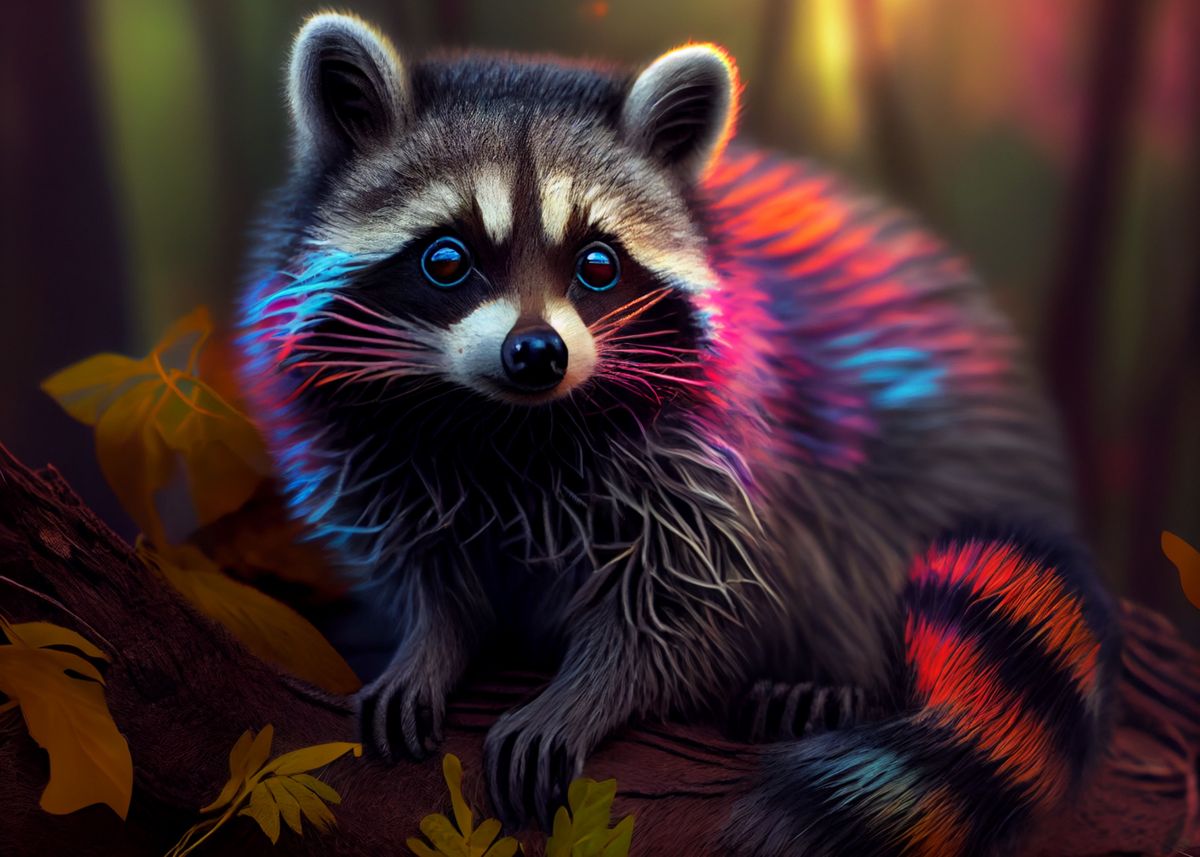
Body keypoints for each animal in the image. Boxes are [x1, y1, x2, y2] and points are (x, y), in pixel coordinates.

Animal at [238, 13, 1119, 855]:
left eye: (597, 264)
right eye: (447, 258)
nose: (537, 353)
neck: (513, 423)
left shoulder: (727, 448)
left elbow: (690, 605)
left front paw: (583, 693)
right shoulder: (372, 446)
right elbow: (421, 564)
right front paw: (425, 644)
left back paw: (838, 668)